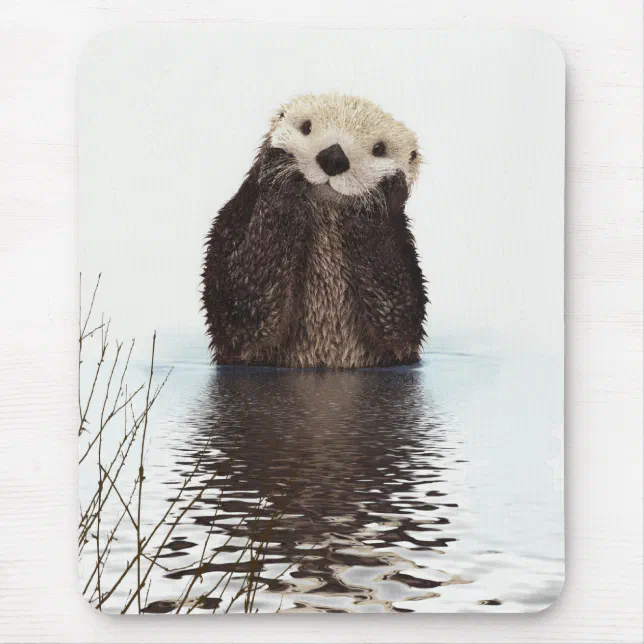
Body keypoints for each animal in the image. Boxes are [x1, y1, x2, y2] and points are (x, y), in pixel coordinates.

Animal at [202, 93, 427, 368]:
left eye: (379, 149)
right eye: (306, 127)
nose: (334, 157)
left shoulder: (403, 254)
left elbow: (400, 319)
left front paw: (381, 194)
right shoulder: (233, 221)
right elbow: (241, 309)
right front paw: (281, 172)